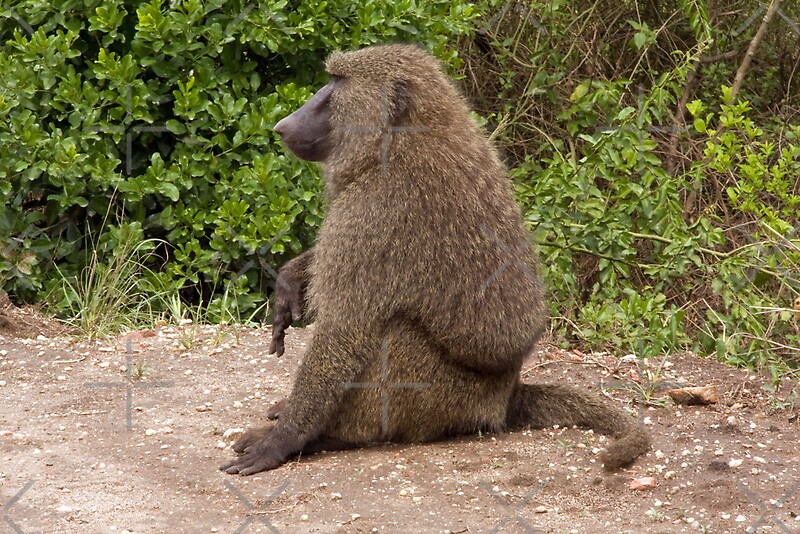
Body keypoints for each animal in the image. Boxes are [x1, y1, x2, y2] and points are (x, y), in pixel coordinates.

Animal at [221, 44, 649, 476]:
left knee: (395, 337)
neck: (399, 138)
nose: (282, 125)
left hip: (451, 400)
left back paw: (330, 436)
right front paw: (291, 278)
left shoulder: (375, 209)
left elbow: (344, 331)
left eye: (337, 83)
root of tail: (507, 397)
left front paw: (282, 440)